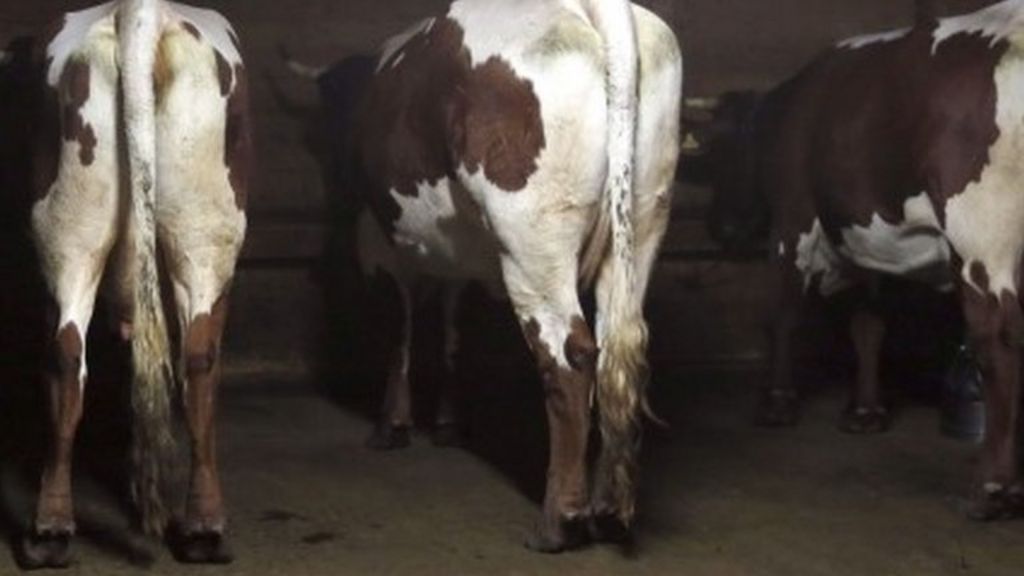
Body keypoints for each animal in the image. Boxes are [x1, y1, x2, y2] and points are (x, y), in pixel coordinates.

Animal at [19, 0, 249, 567]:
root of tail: (142, 14)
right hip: (205, 236)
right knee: (199, 360)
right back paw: (203, 526)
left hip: (73, 234)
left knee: (69, 356)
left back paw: (52, 527)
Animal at [288, 0, 681, 552]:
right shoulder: (460, 260)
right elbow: (453, 328)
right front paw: (448, 422)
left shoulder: (379, 245)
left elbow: (400, 330)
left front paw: (392, 424)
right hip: (644, 220)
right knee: (615, 353)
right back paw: (607, 507)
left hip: (532, 241)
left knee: (570, 358)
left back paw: (559, 522)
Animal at [685, 0, 1024, 521]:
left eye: (725, 154)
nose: (721, 229)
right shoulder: (872, 244)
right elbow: (868, 324)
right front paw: (865, 411)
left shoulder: (793, 221)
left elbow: (783, 312)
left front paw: (777, 403)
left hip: (983, 238)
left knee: (999, 342)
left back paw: (993, 487)